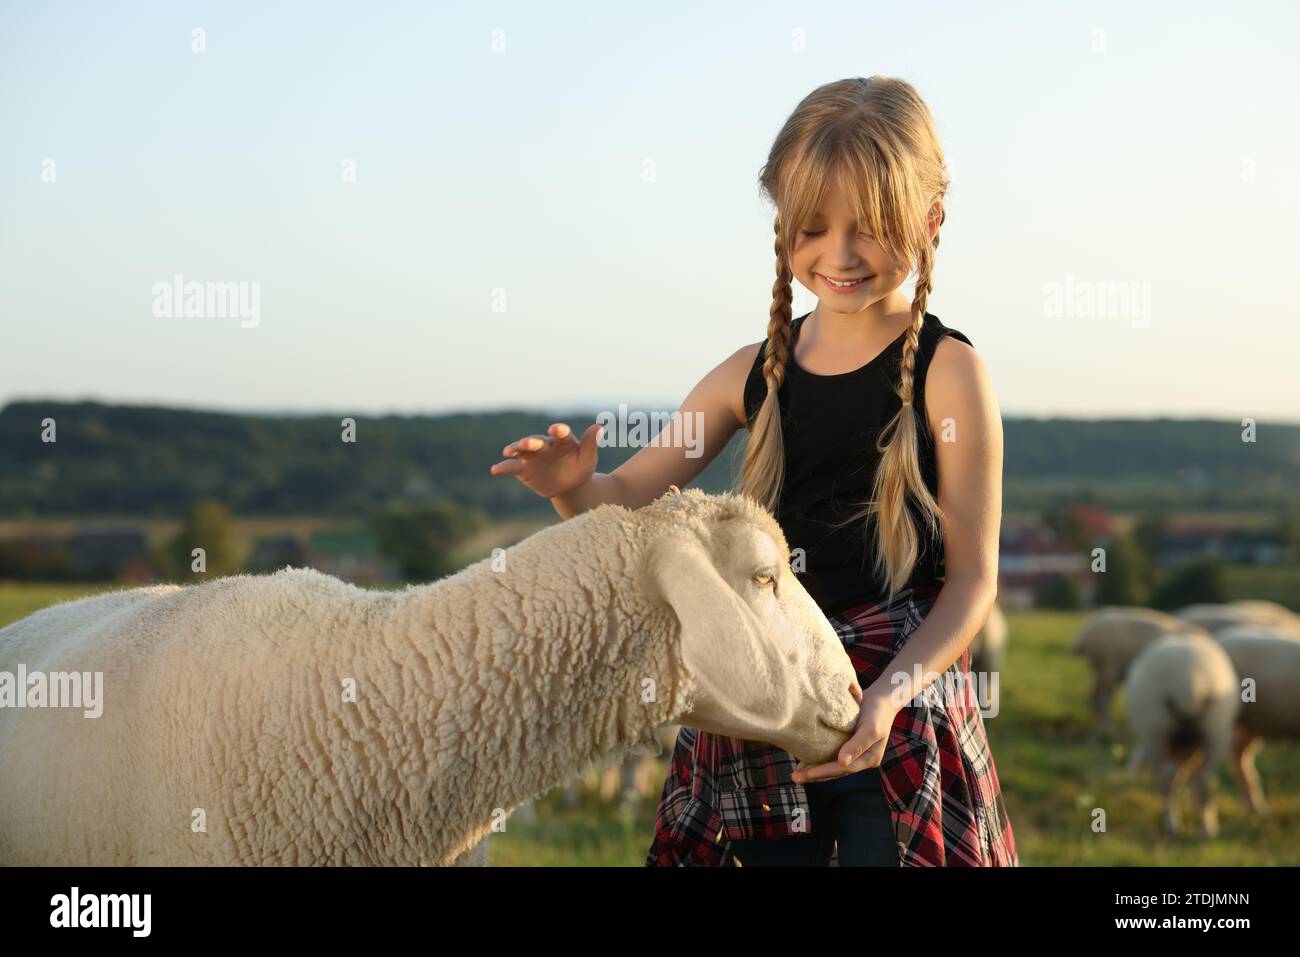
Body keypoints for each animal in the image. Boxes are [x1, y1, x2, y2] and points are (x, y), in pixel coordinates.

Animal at [1072, 607, 1209, 731]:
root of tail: (1084, 636)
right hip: (1107, 665)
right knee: (1100, 698)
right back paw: (1107, 728)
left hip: (1104, 669)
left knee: (1096, 697)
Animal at [1124, 633, 1240, 838]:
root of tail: (1189, 685)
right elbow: (1188, 776)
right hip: (1215, 732)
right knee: (1202, 779)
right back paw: (1206, 827)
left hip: (1158, 732)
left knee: (1167, 777)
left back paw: (1172, 824)